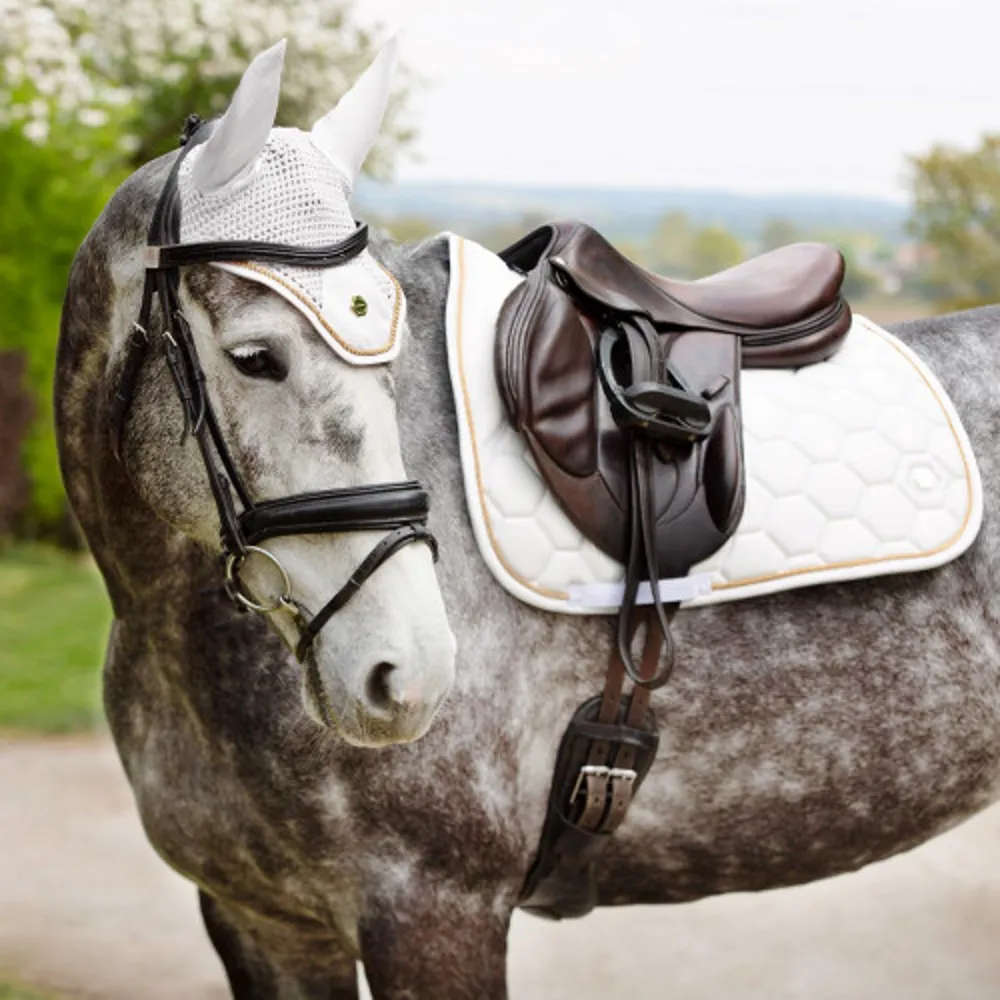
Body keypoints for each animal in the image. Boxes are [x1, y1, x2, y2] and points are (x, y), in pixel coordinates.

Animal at [54, 39, 1000, 999]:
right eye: (254, 356)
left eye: (393, 358)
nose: (408, 673)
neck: (173, 624)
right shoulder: (260, 920)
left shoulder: (436, 913)